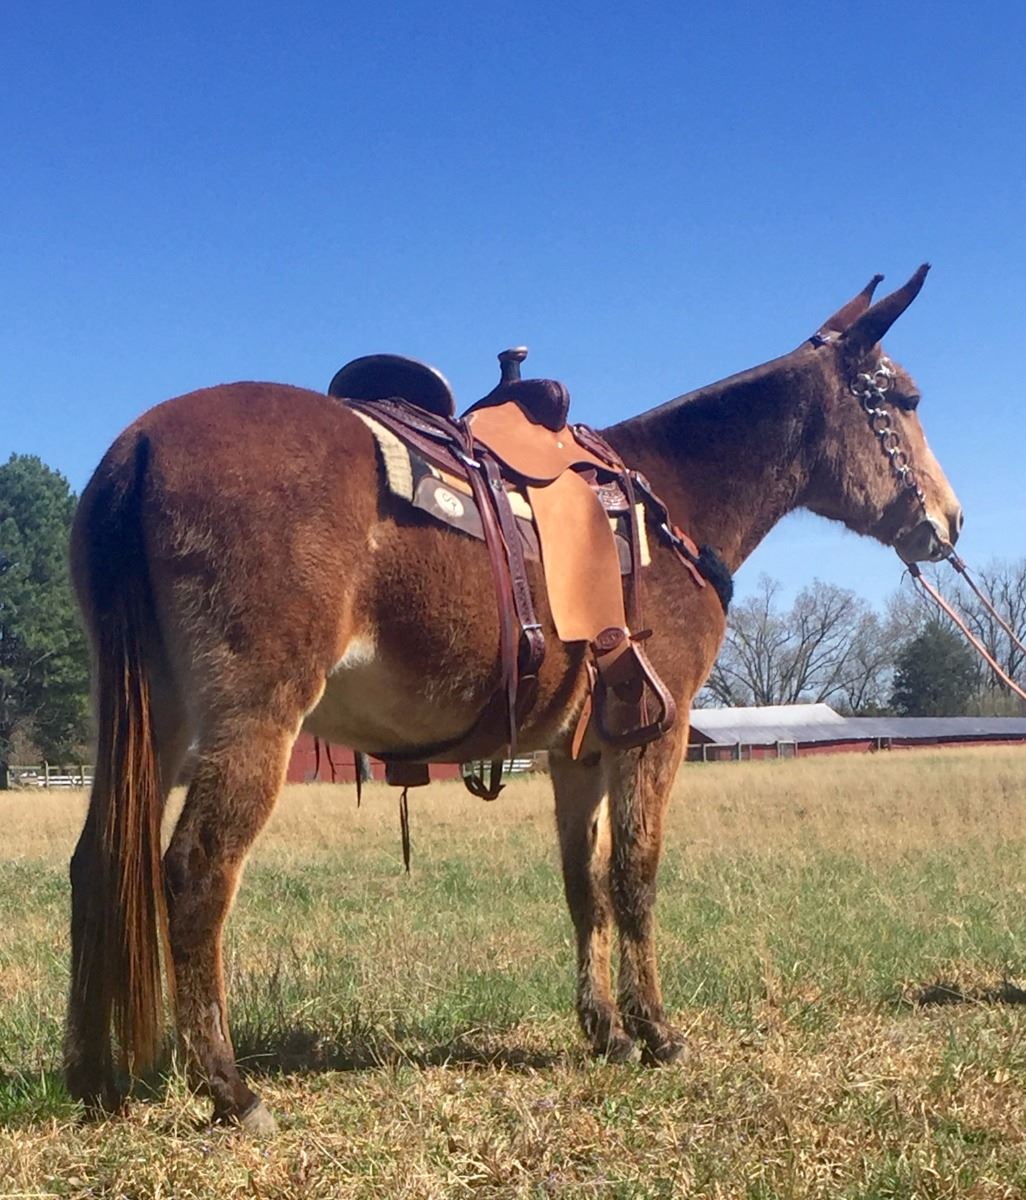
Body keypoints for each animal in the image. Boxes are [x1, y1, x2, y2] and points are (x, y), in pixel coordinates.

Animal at [65, 265, 962, 1133]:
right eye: (906, 400)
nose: (949, 521)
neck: (666, 504)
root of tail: (139, 445)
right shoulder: (657, 734)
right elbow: (634, 876)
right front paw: (656, 1031)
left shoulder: (581, 751)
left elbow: (584, 886)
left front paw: (604, 1031)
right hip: (252, 720)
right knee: (194, 873)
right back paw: (230, 1089)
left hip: (150, 722)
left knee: (96, 866)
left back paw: (92, 1076)